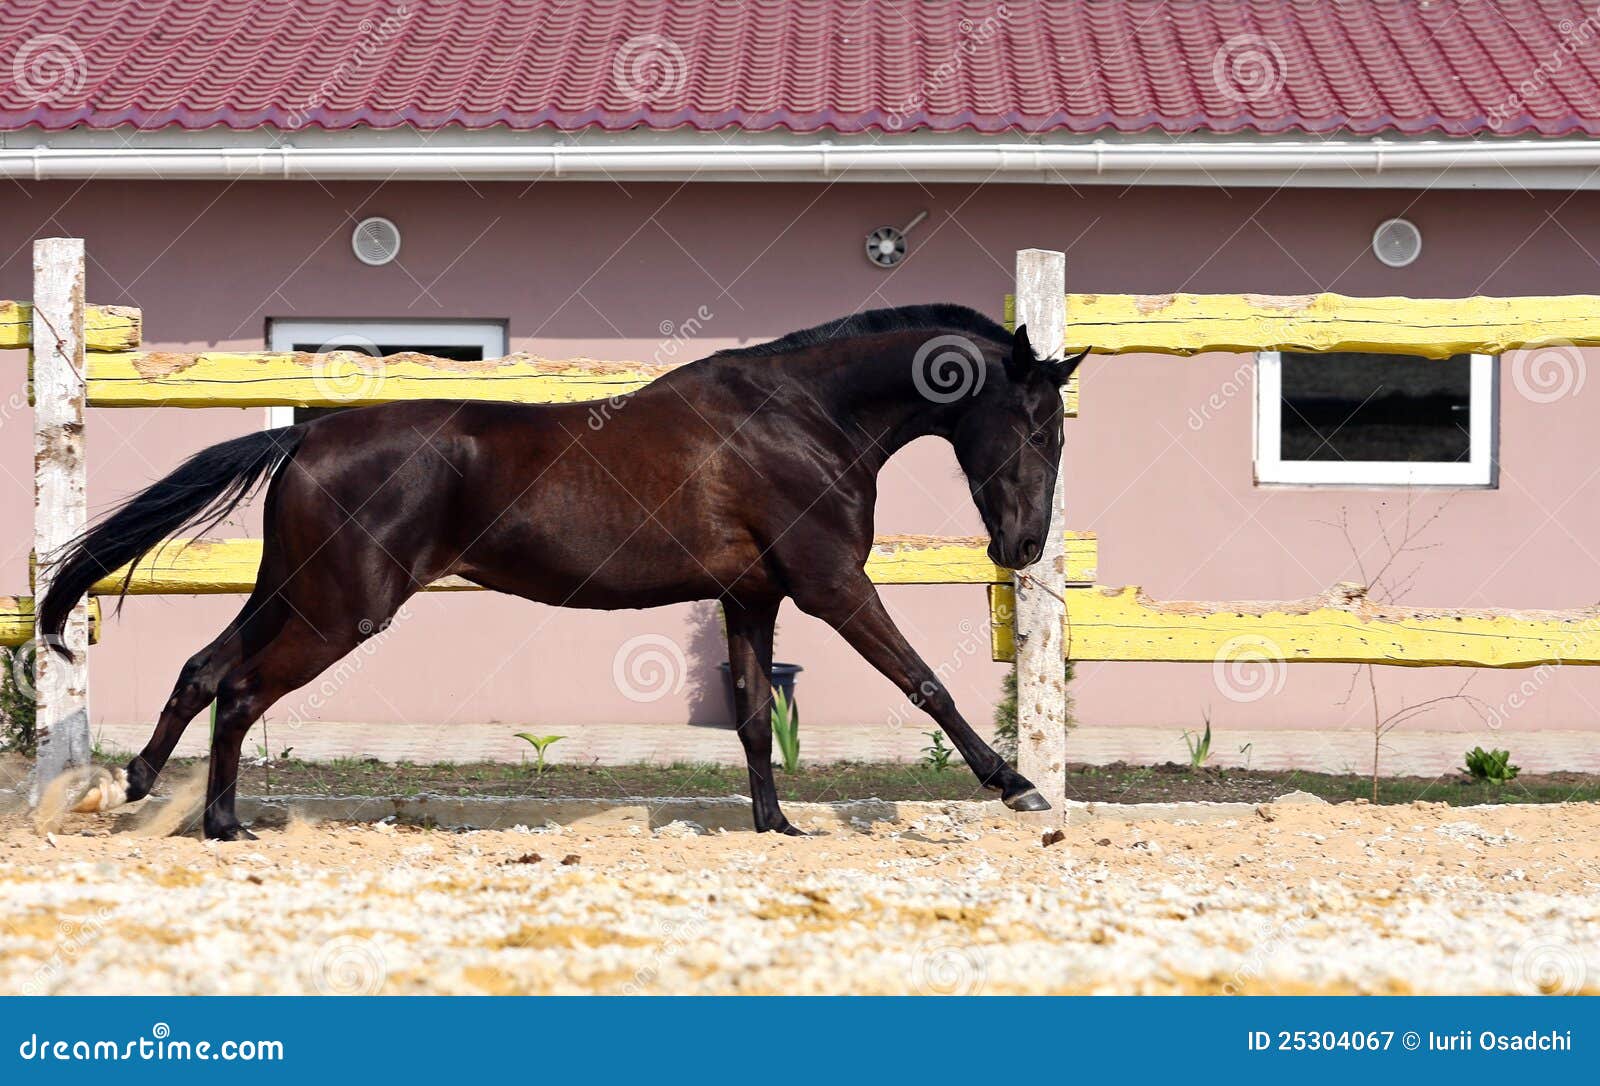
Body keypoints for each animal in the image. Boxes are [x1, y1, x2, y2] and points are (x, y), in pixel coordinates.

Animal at [39, 304, 1086, 840]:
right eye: (1035, 424)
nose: (1023, 548)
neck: (801, 418)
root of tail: (306, 435)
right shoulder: (831, 588)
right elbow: (926, 682)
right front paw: (1018, 786)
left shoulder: (751, 597)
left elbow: (755, 719)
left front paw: (776, 826)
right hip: (342, 610)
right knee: (244, 689)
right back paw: (219, 823)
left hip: (295, 592)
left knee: (206, 671)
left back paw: (149, 791)